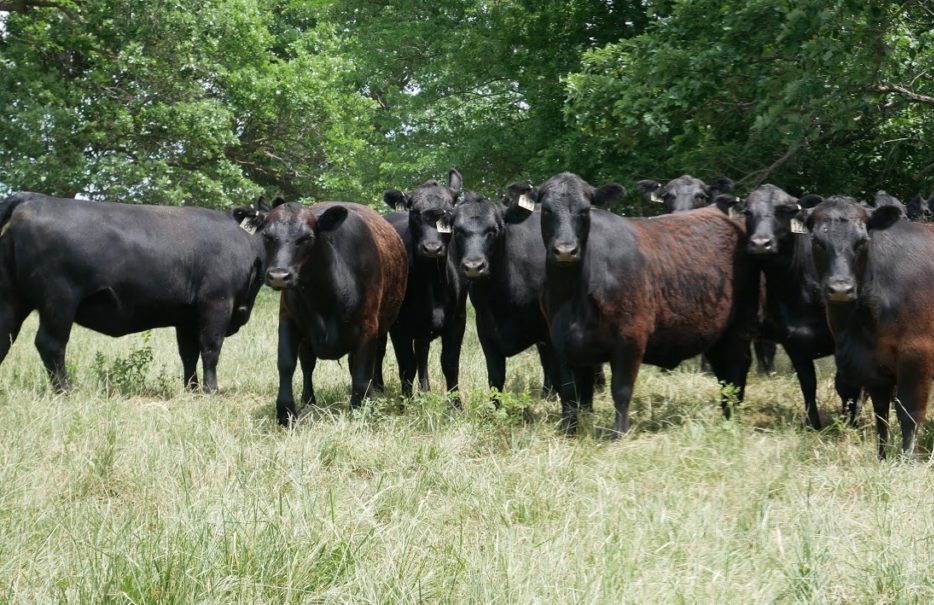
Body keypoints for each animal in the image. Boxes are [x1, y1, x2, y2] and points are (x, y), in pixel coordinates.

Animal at [0, 192, 267, 393]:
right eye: (269, 229)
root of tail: (31, 198)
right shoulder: (217, 303)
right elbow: (211, 349)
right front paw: (211, 390)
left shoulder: (187, 317)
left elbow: (188, 354)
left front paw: (191, 390)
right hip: (59, 300)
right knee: (50, 343)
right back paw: (65, 390)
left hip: (13, 298)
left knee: (5, 336)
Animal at [248, 199, 406, 426]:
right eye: (267, 236)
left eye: (307, 237)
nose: (279, 276)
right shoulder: (288, 320)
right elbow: (286, 365)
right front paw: (285, 413)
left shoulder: (368, 327)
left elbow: (362, 373)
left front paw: (360, 410)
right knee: (308, 364)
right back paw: (308, 399)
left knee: (374, 358)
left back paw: (375, 392)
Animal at [375, 170, 467, 400]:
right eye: (414, 211)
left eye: (449, 212)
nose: (431, 248)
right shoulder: (399, 325)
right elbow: (406, 366)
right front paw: (406, 403)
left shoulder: (458, 320)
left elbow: (450, 364)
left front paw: (455, 404)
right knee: (379, 349)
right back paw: (377, 387)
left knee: (422, 351)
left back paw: (425, 389)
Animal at [534, 172, 758, 435]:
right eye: (547, 210)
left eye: (585, 210)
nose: (565, 250)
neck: (573, 296)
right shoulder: (560, 341)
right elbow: (569, 392)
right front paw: (569, 431)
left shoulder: (631, 338)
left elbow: (620, 390)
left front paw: (619, 433)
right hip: (717, 332)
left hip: (740, 326)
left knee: (736, 369)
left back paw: (731, 417)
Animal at [801, 195, 934, 458]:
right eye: (817, 242)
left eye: (862, 241)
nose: (840, 289)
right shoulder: (871, 362)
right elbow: (880, 414)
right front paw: (882, 457)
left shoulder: (917, 353)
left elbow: (909, 411)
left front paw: (908, 458)